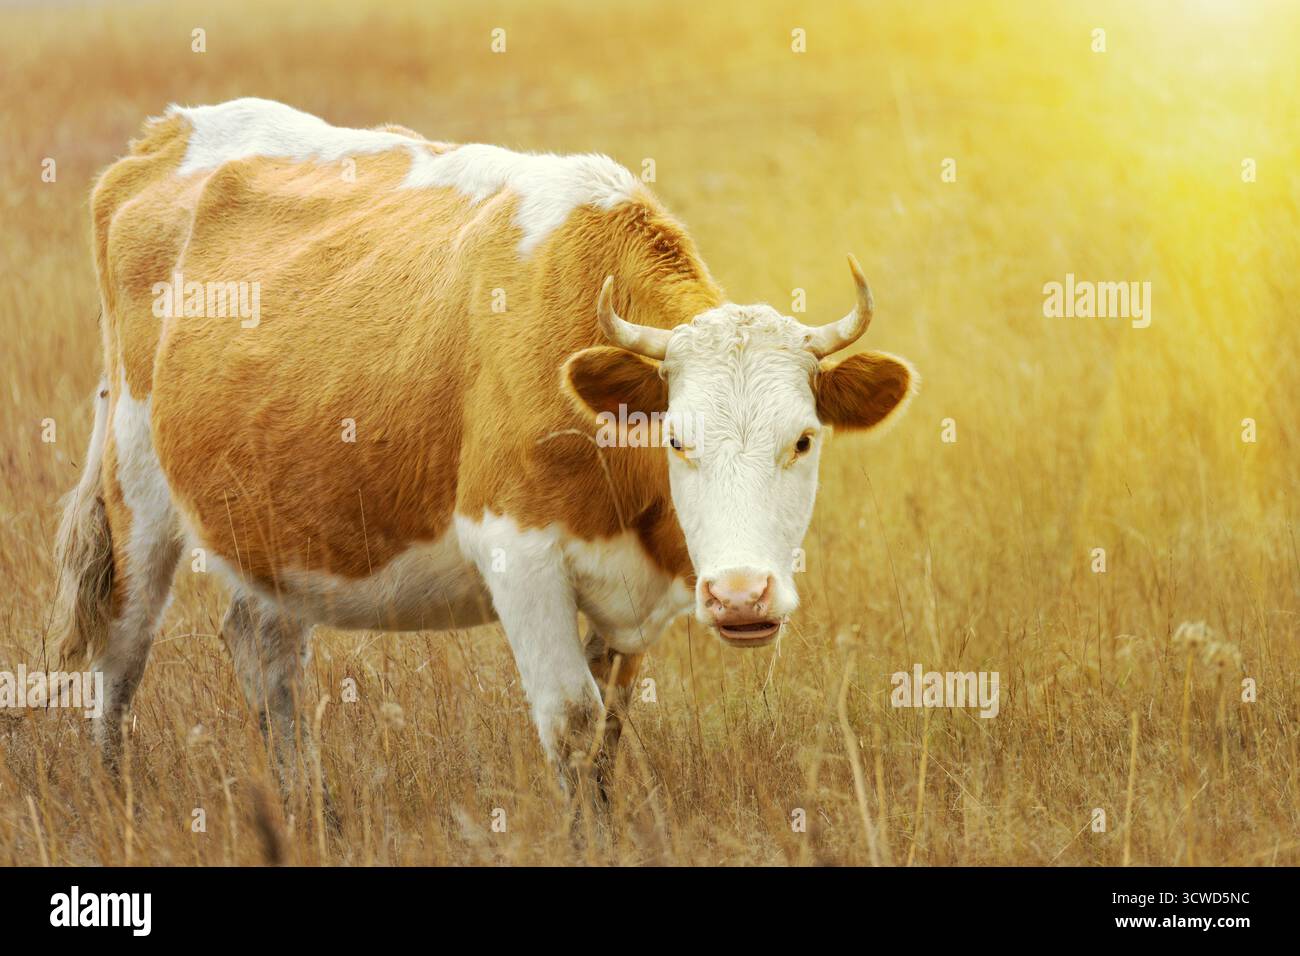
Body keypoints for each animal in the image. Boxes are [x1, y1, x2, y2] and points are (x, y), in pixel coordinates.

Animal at [54, 98, 915, 798]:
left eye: (802, 439)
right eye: (677, 437)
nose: (741, 596)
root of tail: (164, 132)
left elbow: (609, 733)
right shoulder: (518, 551)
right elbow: (572, 724)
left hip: (277, 523)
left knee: (263, 650)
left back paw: (306, 807)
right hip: (136, 488)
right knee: (120, 654)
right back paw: (118, 800)